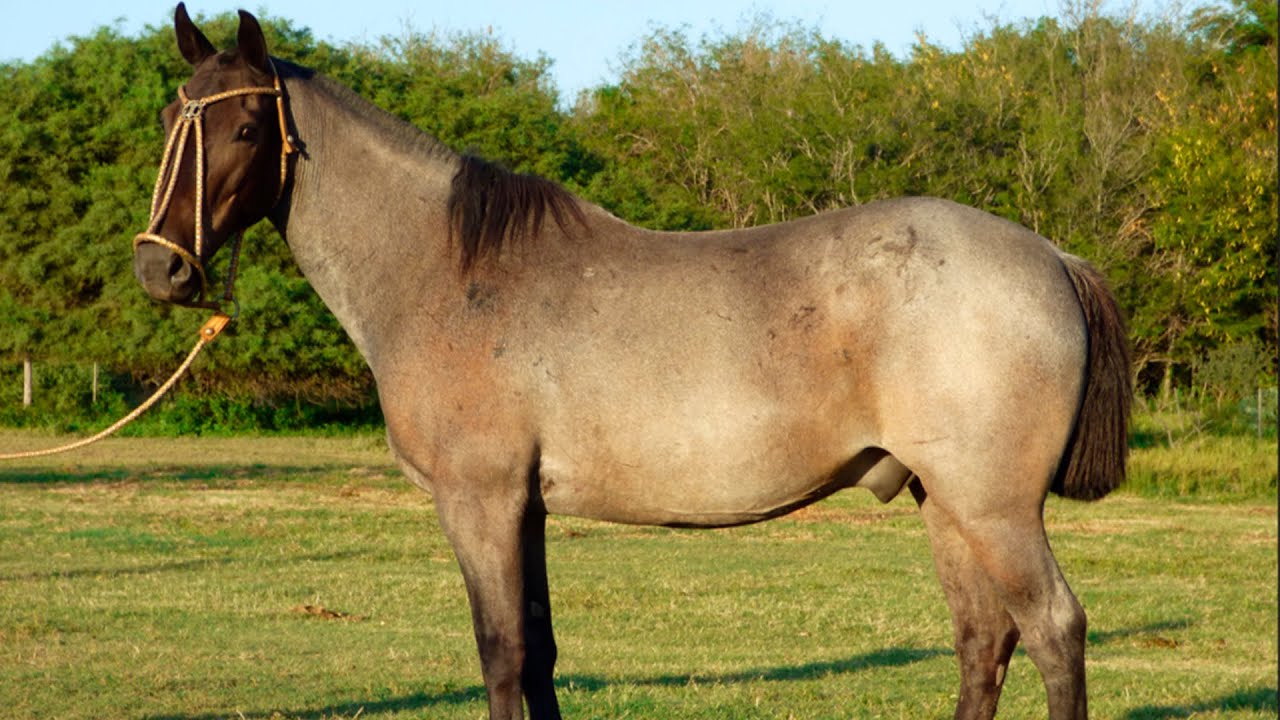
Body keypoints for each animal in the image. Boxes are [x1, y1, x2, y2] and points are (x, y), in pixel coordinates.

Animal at [131, 6, 1131, 719]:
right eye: (171, 119)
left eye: (247, 130)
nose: (160, 267)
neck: (448, 272)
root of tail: (1051, 256)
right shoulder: (525, 509)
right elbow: (538, 653)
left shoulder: (480, 503)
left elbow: (501, 656)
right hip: (946, 501)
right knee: (982, 640)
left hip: (995, 509)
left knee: (1052, 630)